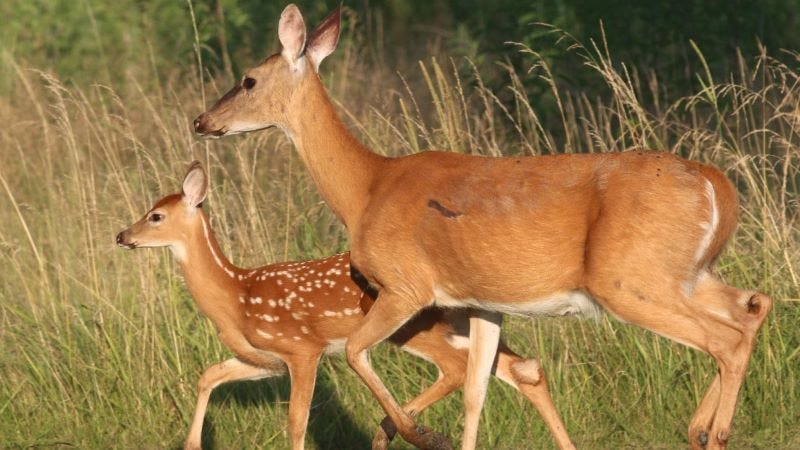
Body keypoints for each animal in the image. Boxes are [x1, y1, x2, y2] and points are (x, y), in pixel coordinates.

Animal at [115, 161, 576, 450]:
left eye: (155, 216)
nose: (122, 236)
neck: (236, 296)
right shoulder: (263, 359)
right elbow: (208, 375)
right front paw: (192, 443)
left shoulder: (302, 349)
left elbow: (296, 421)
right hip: (461, 322)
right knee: (520, 368)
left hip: (415, 327)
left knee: (460, 368)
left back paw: (412, 432)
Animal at [192, 4, 772, 450]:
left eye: (248, 79)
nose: (201, 121)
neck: (367, 189)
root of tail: (716, 186)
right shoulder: (483, 301)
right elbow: (477, 392)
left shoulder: (406, 285)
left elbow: (357, 350)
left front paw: (420, 433)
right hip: (686, 273)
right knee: (750, 308)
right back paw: (701, 428)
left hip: (629, 279)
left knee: (725, 339)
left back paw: (713, 432)